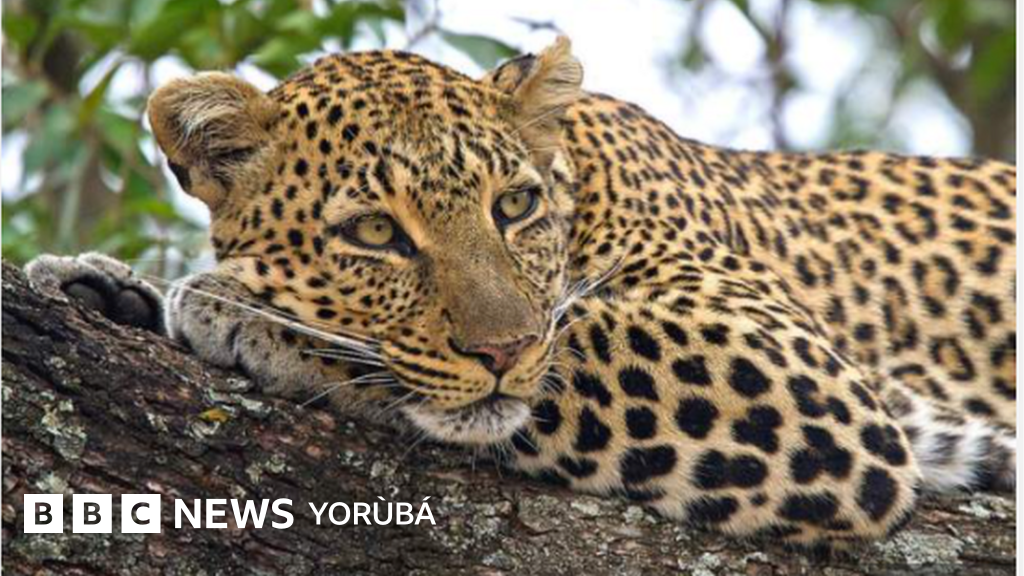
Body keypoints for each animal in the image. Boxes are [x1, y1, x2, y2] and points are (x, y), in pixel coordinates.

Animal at [26, 37, 1016, 548]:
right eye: (375, 233)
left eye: (513, 206)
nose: (500, 351)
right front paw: (102, 286)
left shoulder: (800, 378)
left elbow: (575, 344)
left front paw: (239, 308)